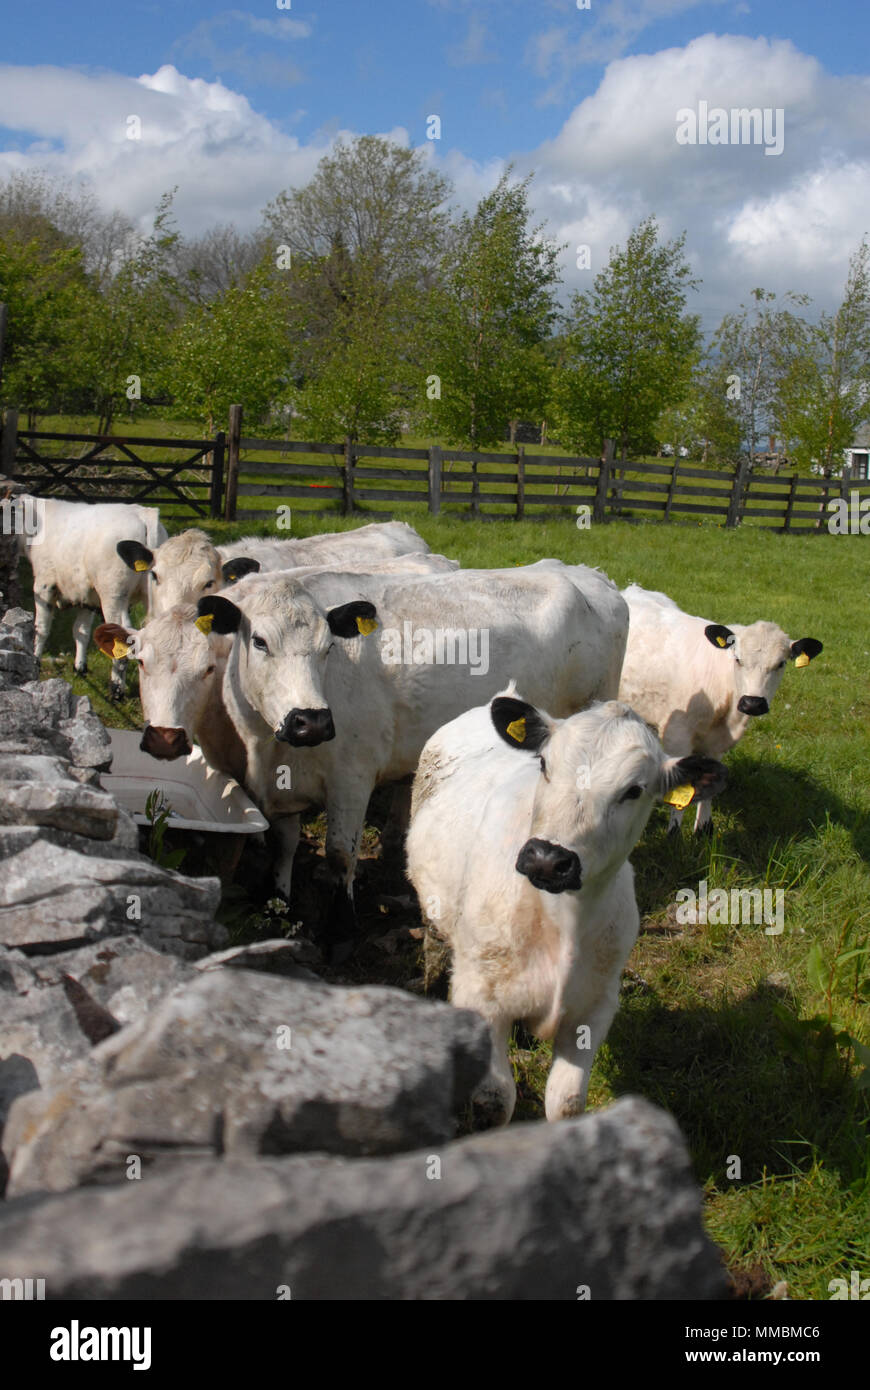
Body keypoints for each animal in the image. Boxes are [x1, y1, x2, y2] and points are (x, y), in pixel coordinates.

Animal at [13, 496, 167, 699]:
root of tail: (144, 513)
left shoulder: (44, 586)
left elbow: (41, 628)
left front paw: (35, 660)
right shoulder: (87, 598)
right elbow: (81, 631)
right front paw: (80, 667)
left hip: (113, 596)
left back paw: (116, 690)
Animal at [188, 561, 628, 958]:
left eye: (328, 647)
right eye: (260, 642)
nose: (310, 721)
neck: (267, 747)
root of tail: (589, 575)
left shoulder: (352, 776)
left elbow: (340, 855)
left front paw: (340, 931)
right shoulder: (284, 782)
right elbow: (284, 843)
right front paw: (277, 905)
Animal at [405, 690, 727, 1125]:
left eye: (634, 790)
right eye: (544, 763)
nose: (547, 858)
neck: (561, 921)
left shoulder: (594, 1006)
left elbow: (567, 1102)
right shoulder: (480, 996)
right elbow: (495, 1100)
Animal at [618, 584, 823, 833]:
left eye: (781, 664)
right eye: (738, 659)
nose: (753, 703)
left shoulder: (718, 744)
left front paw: (703, 829)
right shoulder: (677, 737)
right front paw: (674, 834)